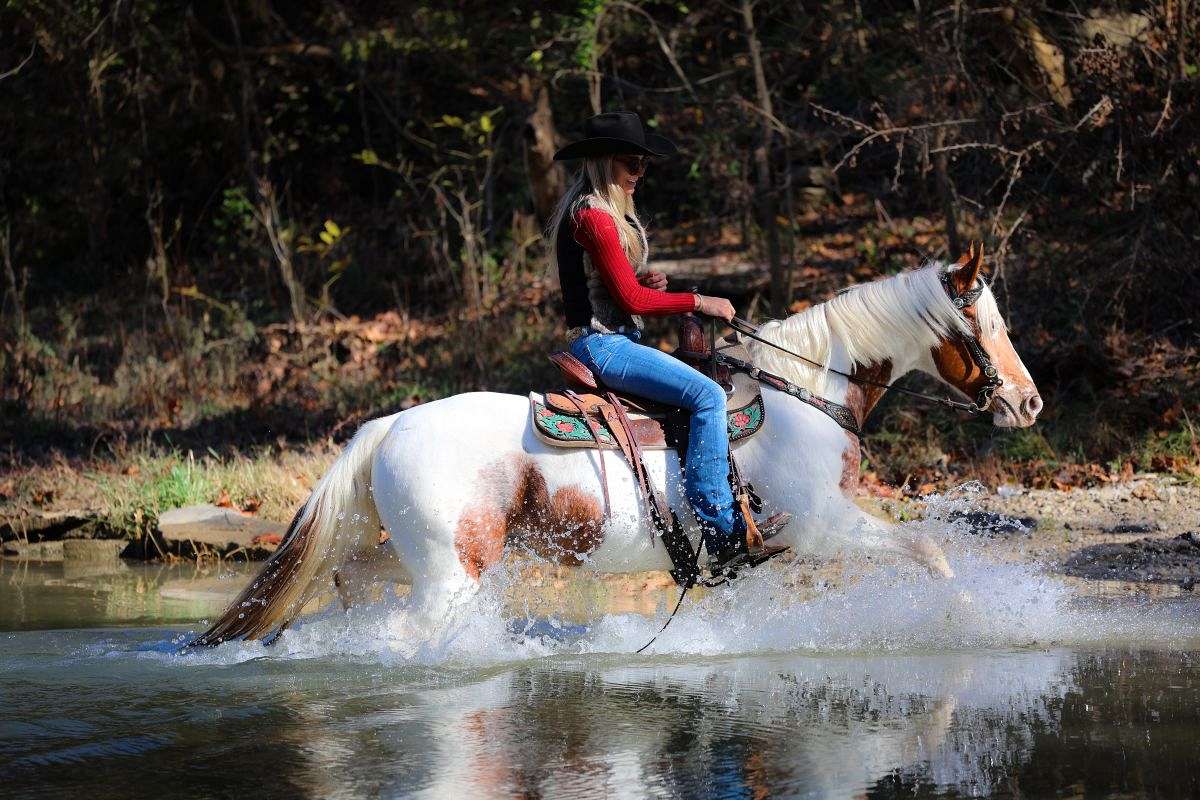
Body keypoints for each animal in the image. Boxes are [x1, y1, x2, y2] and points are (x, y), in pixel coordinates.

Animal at [191, 247, 1041, 647]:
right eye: (982, 322)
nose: (1029, 402)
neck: (806, 397)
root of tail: (388, 425)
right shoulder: (824, 525)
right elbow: (928, 552)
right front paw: (973, 623)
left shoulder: (765, 555)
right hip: (452, 573)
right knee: (408, 634)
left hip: (405, 557)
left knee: (351, 581)